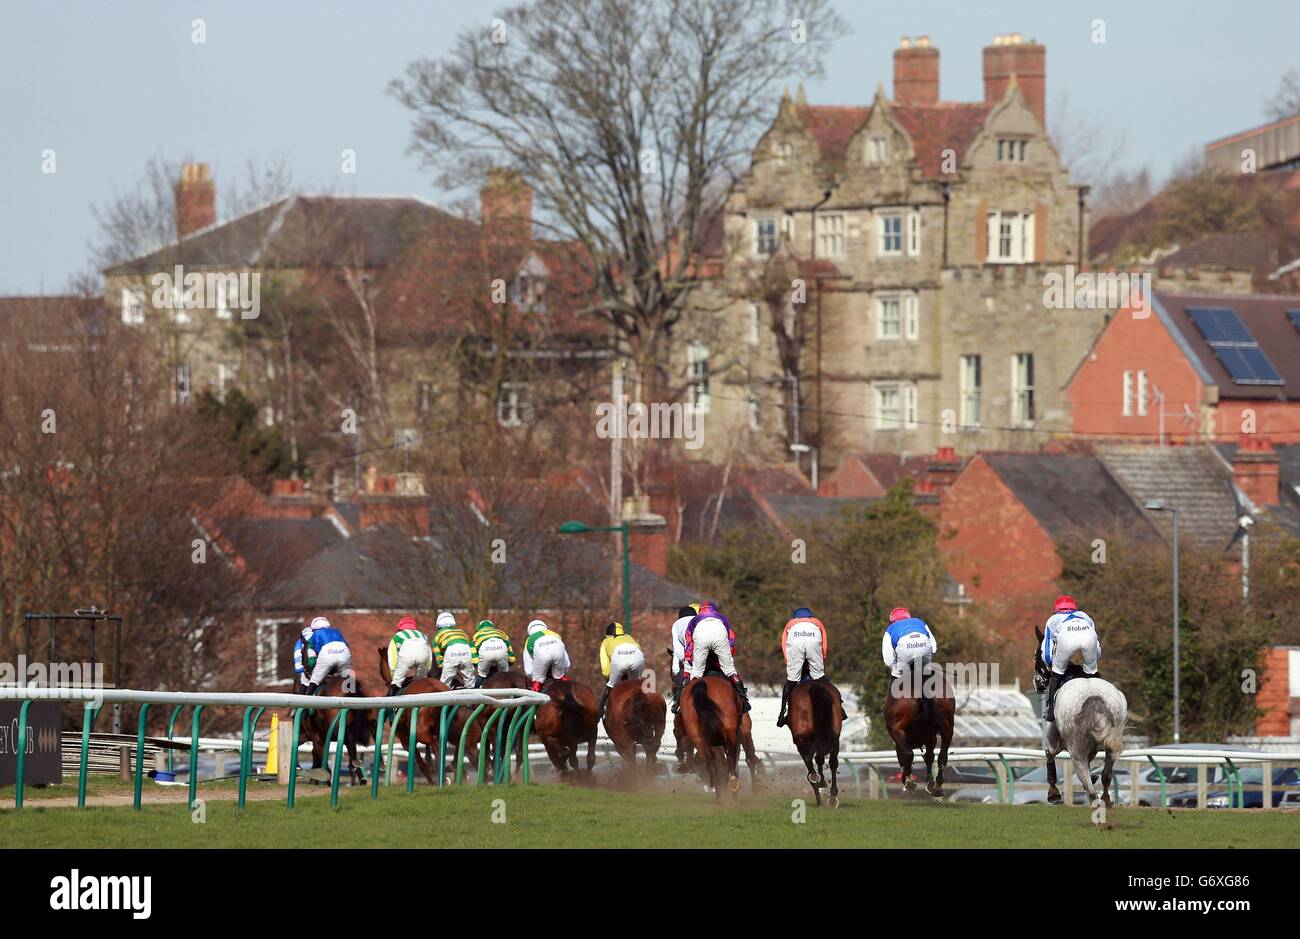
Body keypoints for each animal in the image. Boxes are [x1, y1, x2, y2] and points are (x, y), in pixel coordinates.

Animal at [787, 675, 844, 808]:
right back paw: (832, 796)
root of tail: (814, 687)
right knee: (832, 762)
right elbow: (821, 759)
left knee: (810, 762)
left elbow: (810, 762)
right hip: (834, 735)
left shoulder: (801, 740)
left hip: (802, 739)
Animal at [882, 659, 955, 797]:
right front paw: (930, 784)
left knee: (908, 753)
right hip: (948, 726)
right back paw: (937, 786)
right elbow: (929, 756)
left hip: (898, 729)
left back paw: (910, 783)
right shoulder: (931, 737)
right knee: (943, 756)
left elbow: (905, 754)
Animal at [1033, 625, 1127, 808]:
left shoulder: (1053, 738)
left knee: (1088, 783)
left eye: (1036, 654)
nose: (1037, 684)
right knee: (1106, 775)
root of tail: (1093, 698)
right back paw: (1106, 799)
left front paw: (1053, 794)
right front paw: (1094, 776)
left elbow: (1049, 754)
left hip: (1075, 750)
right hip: (1112, 744)